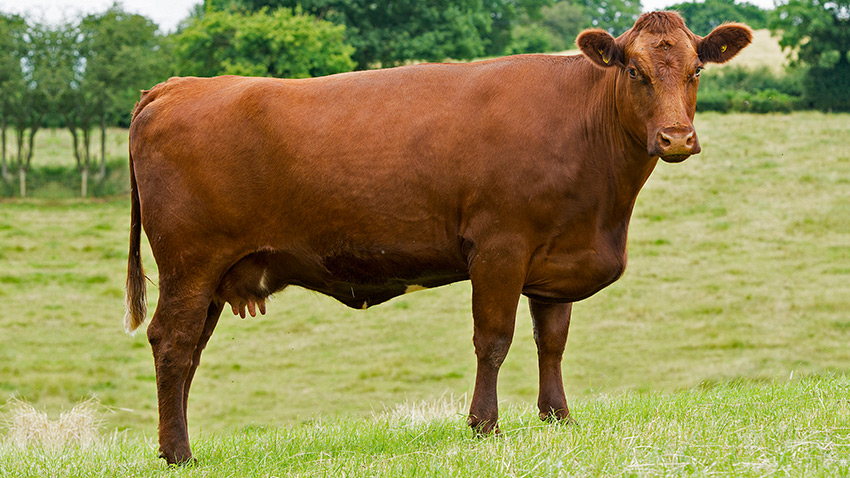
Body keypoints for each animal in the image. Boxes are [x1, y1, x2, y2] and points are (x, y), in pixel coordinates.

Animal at [125, 12, 751, 464]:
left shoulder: (556, 260)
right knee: (172, 344)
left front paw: (557, 418)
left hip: (211, 275)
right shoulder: (500, 248)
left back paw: (173, 444)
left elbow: (552, 340)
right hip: (190, 263)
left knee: (188, 351)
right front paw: (484, 426)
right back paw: (178, 454)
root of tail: (177, 86)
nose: (676, 137)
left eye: (696, 71)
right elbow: (493, 340)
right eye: (634, 71)